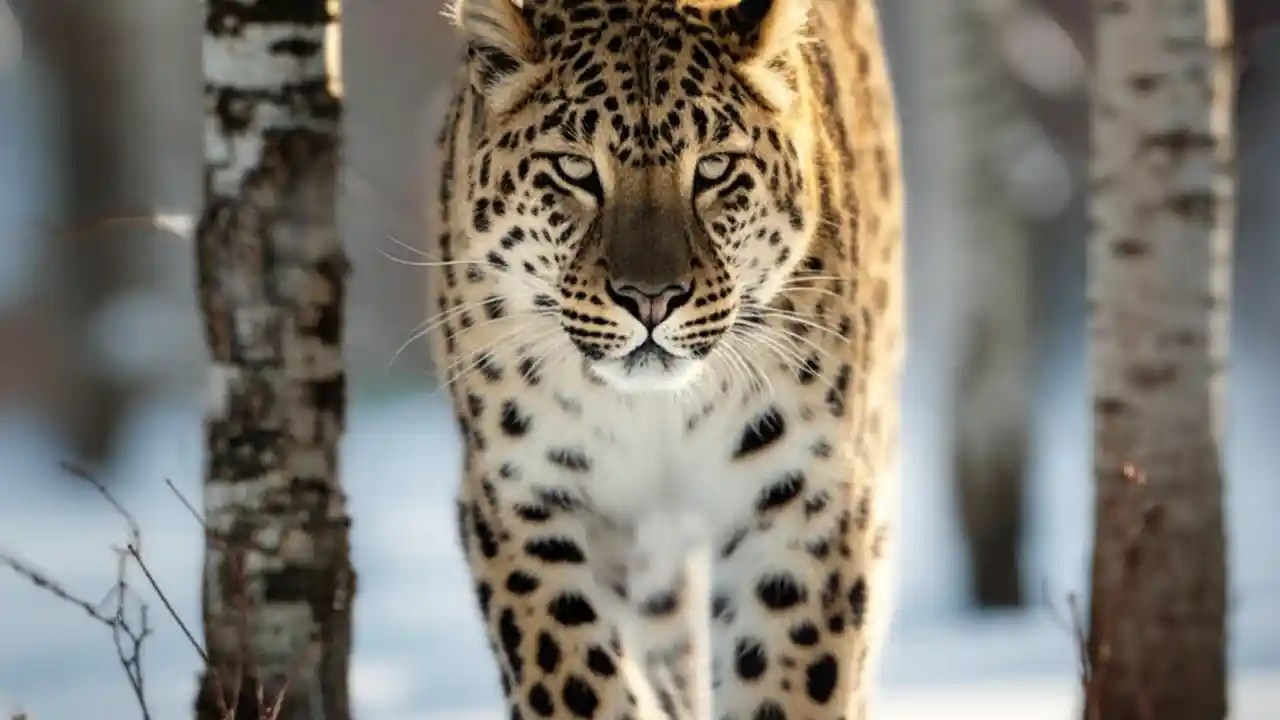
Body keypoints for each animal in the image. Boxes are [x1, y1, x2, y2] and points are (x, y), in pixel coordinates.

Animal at [425, 0, 903, 718]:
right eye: (575, 169)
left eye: (713, 169)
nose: (651, 299)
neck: (657, 411)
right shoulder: (519, 493)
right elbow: (574, 678)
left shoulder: (806, 497)